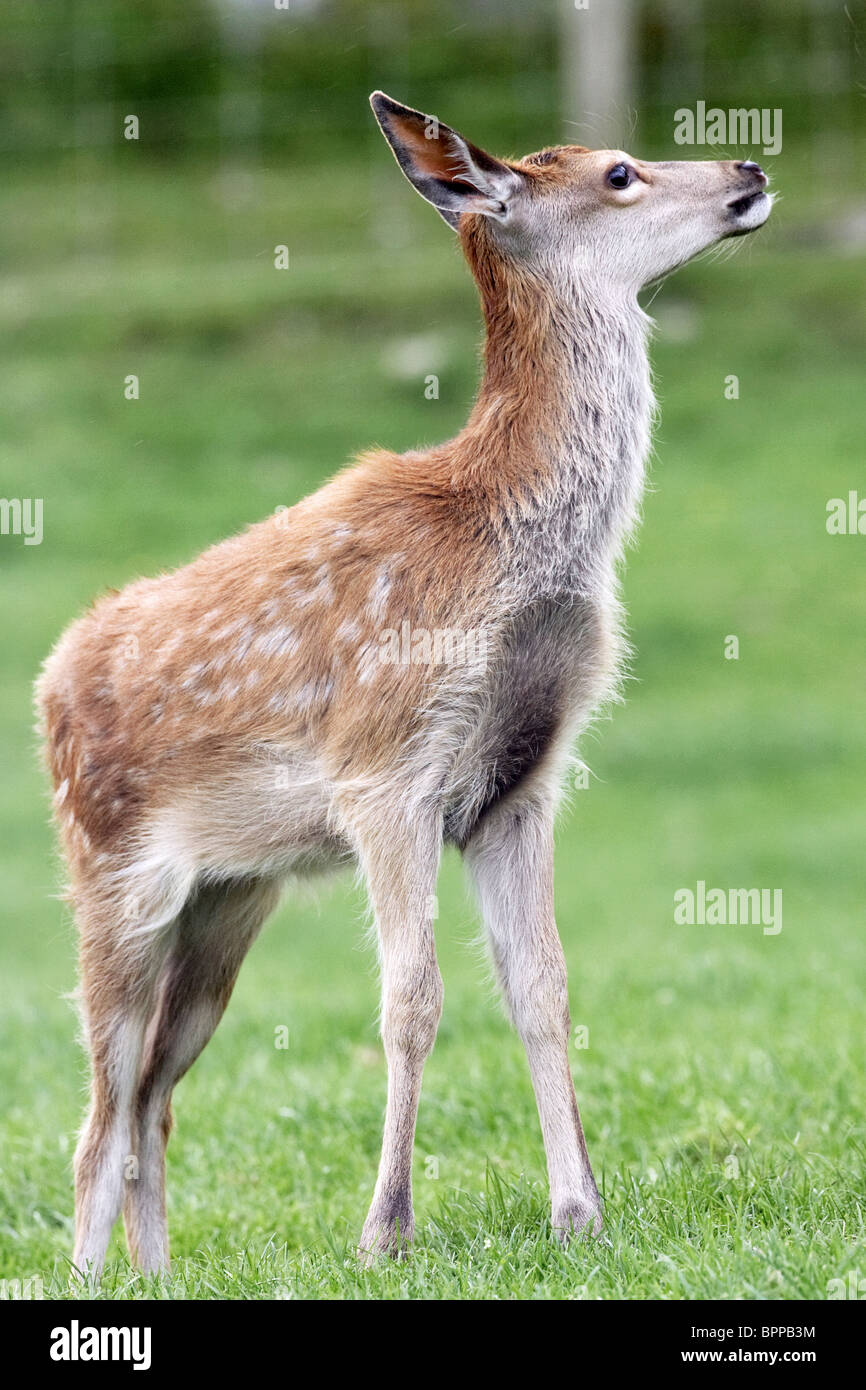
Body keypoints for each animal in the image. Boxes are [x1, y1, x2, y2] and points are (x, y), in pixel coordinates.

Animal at [36, 92, 772, 1280]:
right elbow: (410, 1001)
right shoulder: (386, 767)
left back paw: (157, 1271)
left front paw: (580, 1214)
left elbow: (543, 987)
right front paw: (385, 1229)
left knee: (151, 1096)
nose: (749, 167)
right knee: (98, 1112)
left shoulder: (521, 781)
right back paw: (94, 1272)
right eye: (619, 173)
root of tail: (51, 680)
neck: (502, 546)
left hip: (229, 896)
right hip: (105, 869)